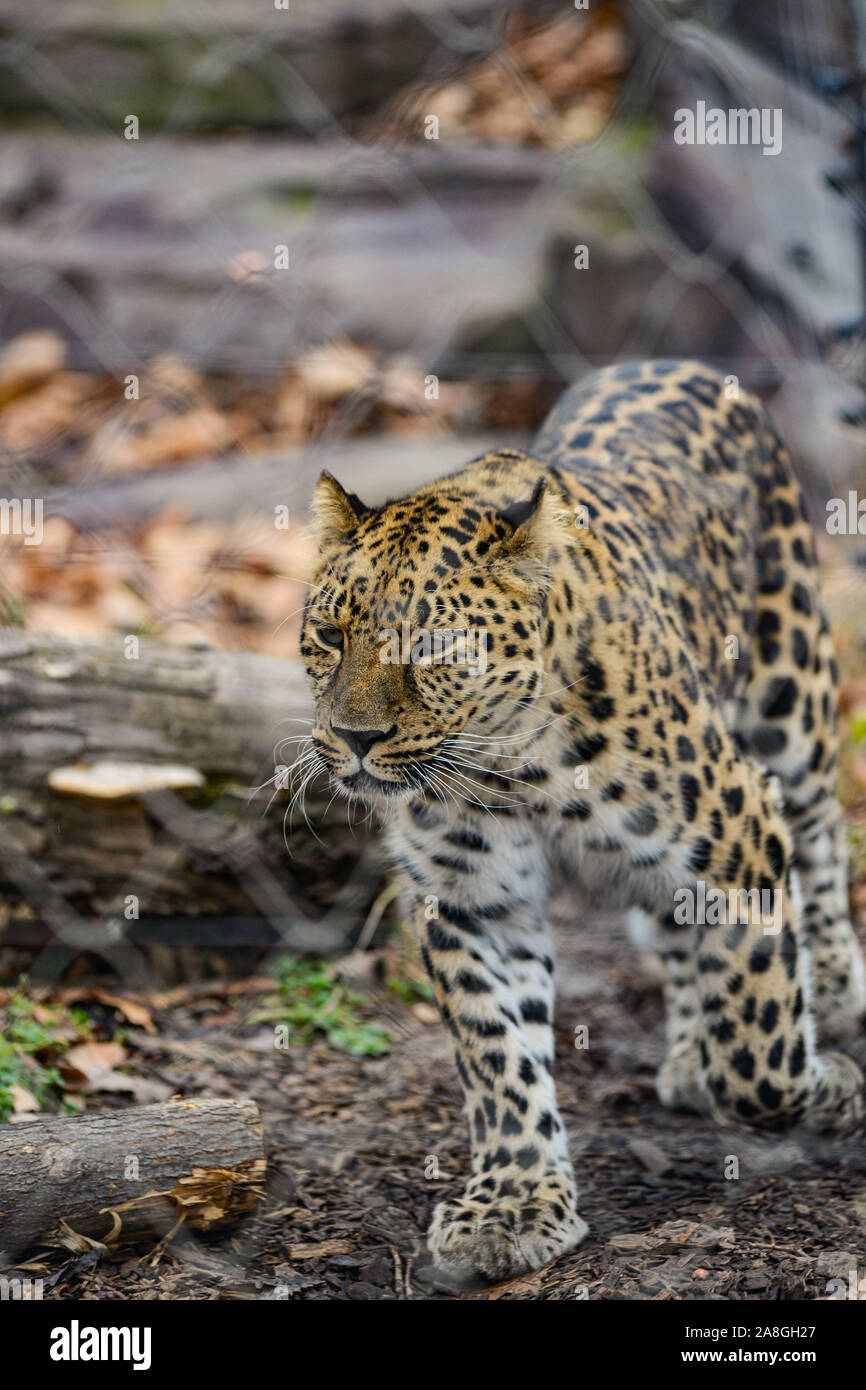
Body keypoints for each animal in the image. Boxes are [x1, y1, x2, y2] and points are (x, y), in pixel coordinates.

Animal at [299, 359, 866, 1283]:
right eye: (326, 633)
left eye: (433, 648)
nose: (352, 738)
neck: (514, 764)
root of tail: (677, 363)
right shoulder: (472, 898)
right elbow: (498, 1056)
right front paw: (515, 1205)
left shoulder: (738, 836)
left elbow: (760, 1045)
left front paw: (823, 1087)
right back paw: (688, 1050)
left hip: (793, 697)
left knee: (816, 835)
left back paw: (836, 984)